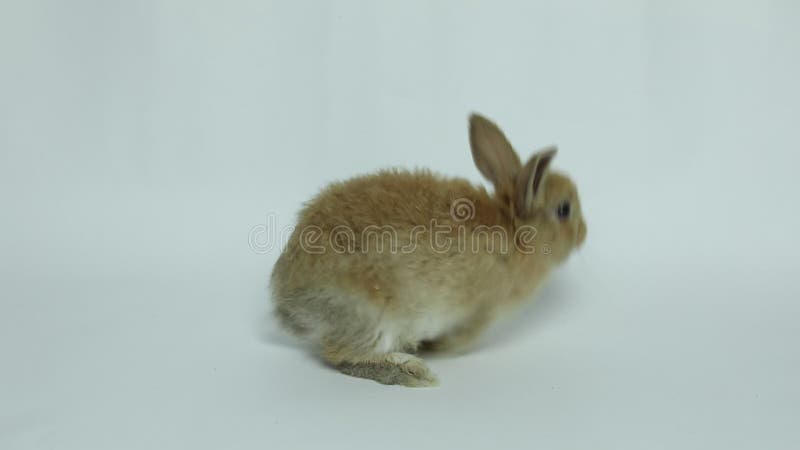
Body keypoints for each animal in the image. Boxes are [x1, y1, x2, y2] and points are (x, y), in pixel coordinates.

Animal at [270, 113, 587, 387]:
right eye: (564, 209)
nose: (583, 234)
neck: (517, 232)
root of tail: (286, 301)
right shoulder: (481, 312)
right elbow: (461, 338)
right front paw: (438, 349)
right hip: (370, 315)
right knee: (342, 356)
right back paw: (413, 372)